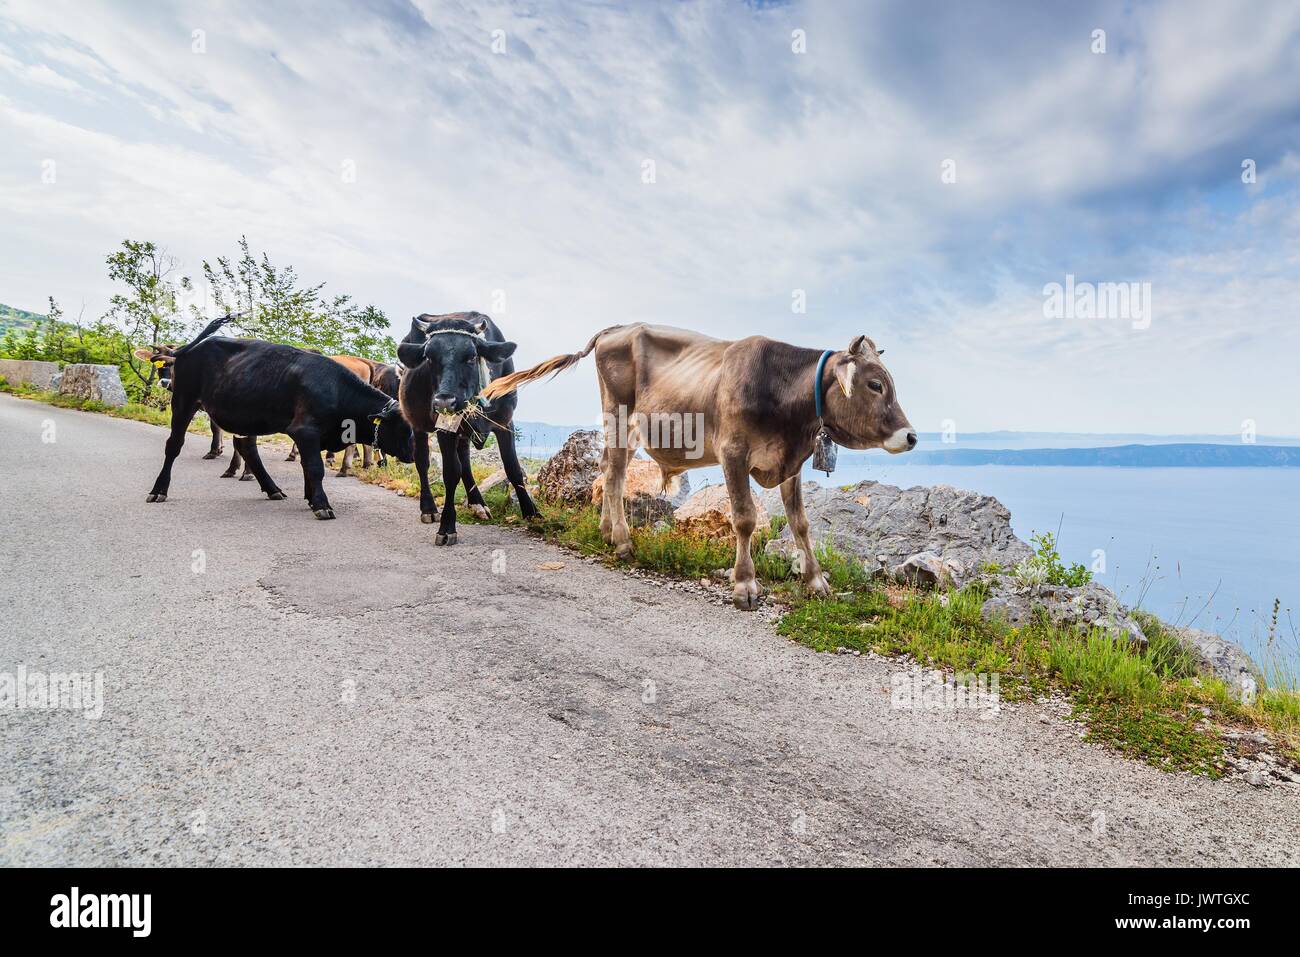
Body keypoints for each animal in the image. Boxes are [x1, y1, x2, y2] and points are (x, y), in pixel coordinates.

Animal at [144, 316, 415, 518]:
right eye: (405, 428)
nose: (414, 455)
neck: (336, 389)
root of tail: (189, 348)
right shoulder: (305, 431)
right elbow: (315, 467)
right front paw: (321, 504)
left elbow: (307, 466)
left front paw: (311, 499)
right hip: (183, 401)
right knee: (174, 445)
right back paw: (158, 490)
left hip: (244, 414)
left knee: (247, 447)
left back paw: (271, 488)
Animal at [396, 311, 539, 544]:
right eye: (429, 358)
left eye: (471, 357)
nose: (444, 401)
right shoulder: (444, 427)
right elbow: (450, 472)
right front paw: (447, 526)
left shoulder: (505, 421)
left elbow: (513, 468)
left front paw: (532, 513)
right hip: (418, 424)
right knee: (423, 462)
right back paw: (428, 508)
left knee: (464, 460)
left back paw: (477, 503)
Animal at [480, 324, 916, 609]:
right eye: (875, 384)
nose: (911, 437)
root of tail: (616, 328)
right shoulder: (732, 452)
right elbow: (744, 518)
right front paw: (745, 584)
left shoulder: (791, 464)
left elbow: (801, 524)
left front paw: (817, 581)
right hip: (617, 414)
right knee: (616, 474)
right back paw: (622, 541)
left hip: (628, 428)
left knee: (606, 468)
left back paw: (605, 531)